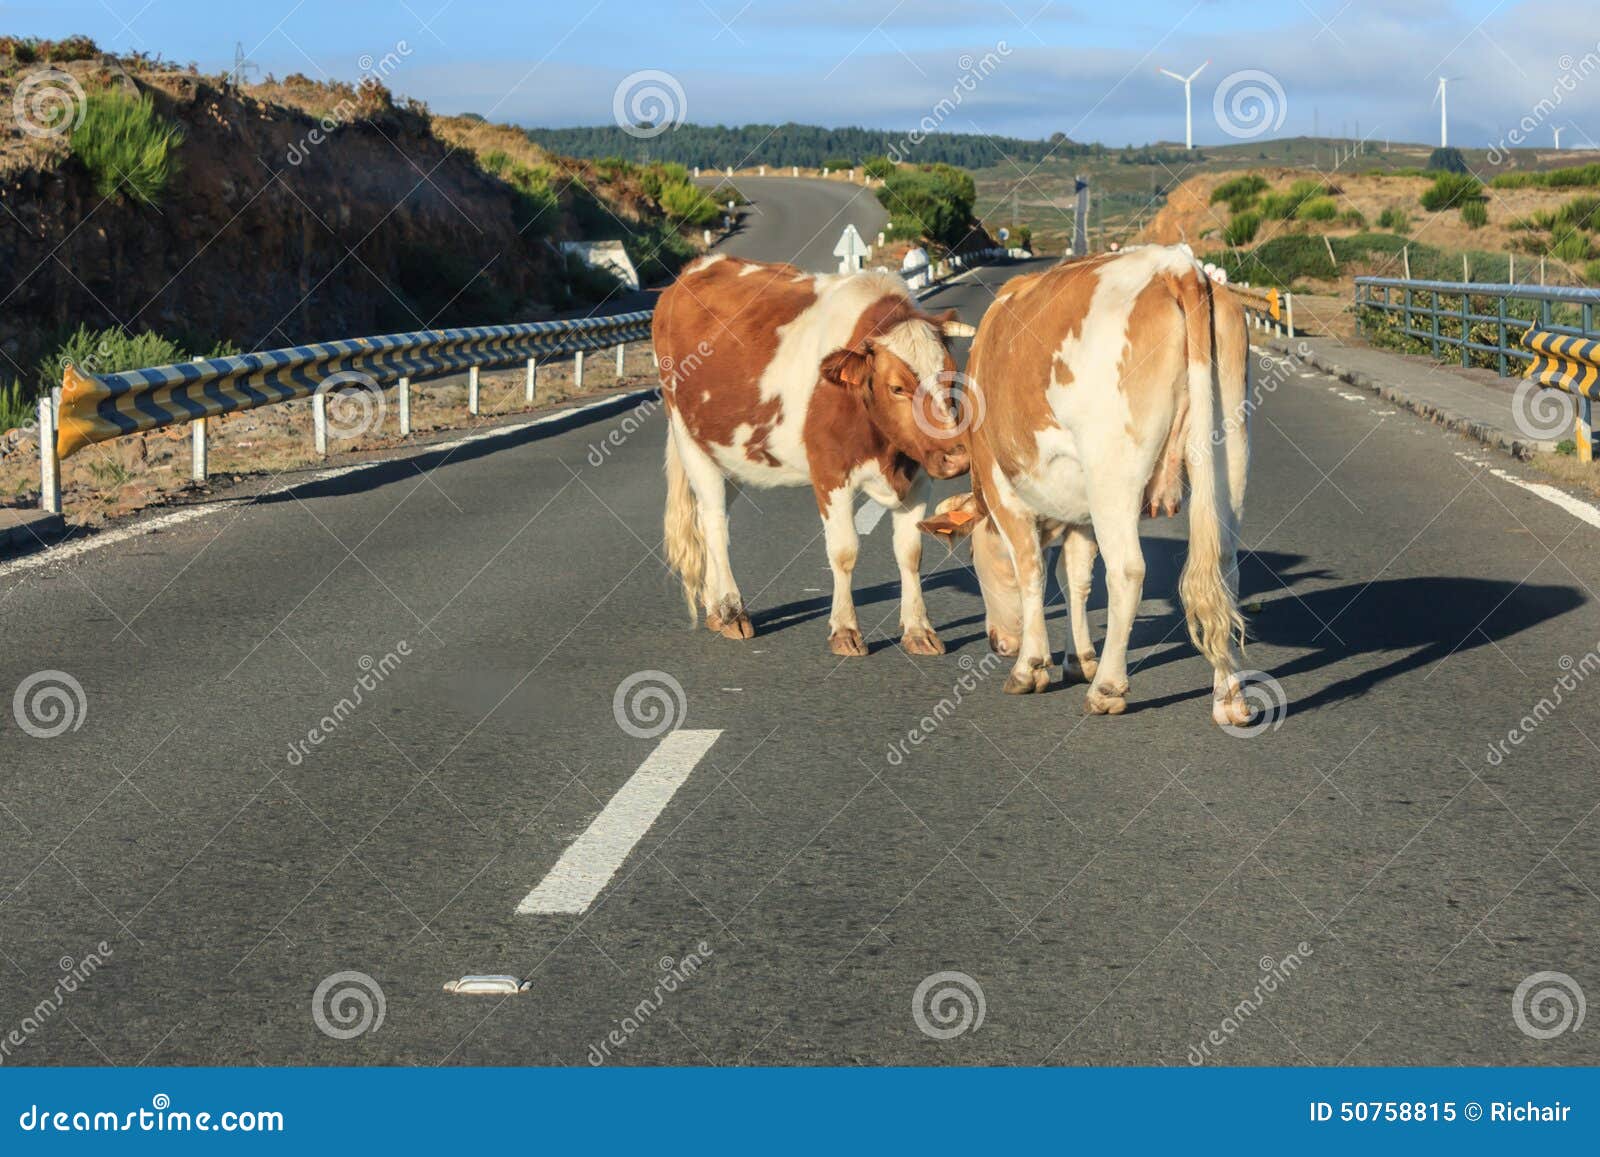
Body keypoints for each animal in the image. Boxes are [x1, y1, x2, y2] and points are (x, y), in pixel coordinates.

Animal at [653, 254, 974, 657]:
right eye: (897, 387)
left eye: (952, 376)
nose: (957, 458)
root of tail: (695, 268)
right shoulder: (830, 473)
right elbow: (844, 551)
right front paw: (845, 630)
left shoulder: (918, 474)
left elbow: (910, 551)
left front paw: (919, 630)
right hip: (691, 442)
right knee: (712, 523)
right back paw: (732, 612)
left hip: (727, 453)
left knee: (712, 517)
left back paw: (716, 610)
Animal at [917, 245, 1254, 725]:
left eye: (973, 556)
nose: (998, 642)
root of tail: (1175, 265)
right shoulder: (1080, 509)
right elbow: (1074, 574)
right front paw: (1077, 659)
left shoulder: (1004, 489)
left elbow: (1032, 570)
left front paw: (1031, 667)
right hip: (1230, 451)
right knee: (1223, 568)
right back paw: (1230, 698)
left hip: (1112, 471)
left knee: (1128, 570)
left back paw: (1108, 688)